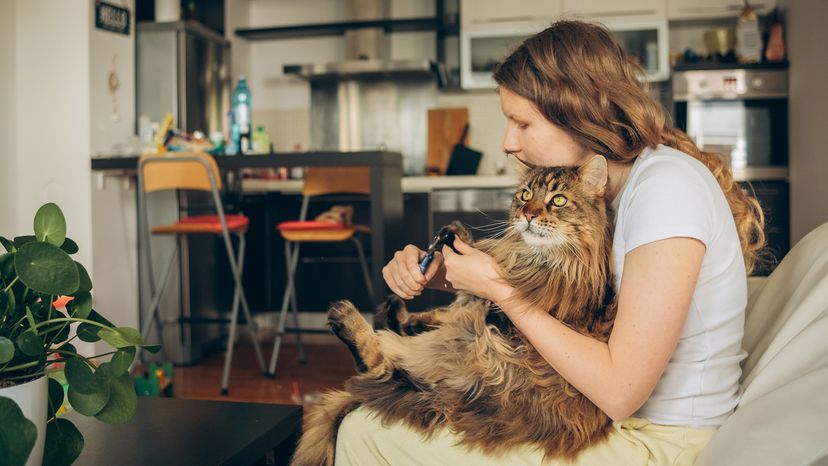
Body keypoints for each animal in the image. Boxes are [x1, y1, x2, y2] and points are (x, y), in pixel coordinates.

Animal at [294, 156, 616, 466]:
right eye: (525, 195)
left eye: (558, 200)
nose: (528, 215)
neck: (532, 257)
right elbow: (452, 305)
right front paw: (455, 235)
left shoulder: (508, 318)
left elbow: (471, 301)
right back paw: (393, 311)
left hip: (471, 364)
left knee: (380, 366)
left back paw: (346, 316)